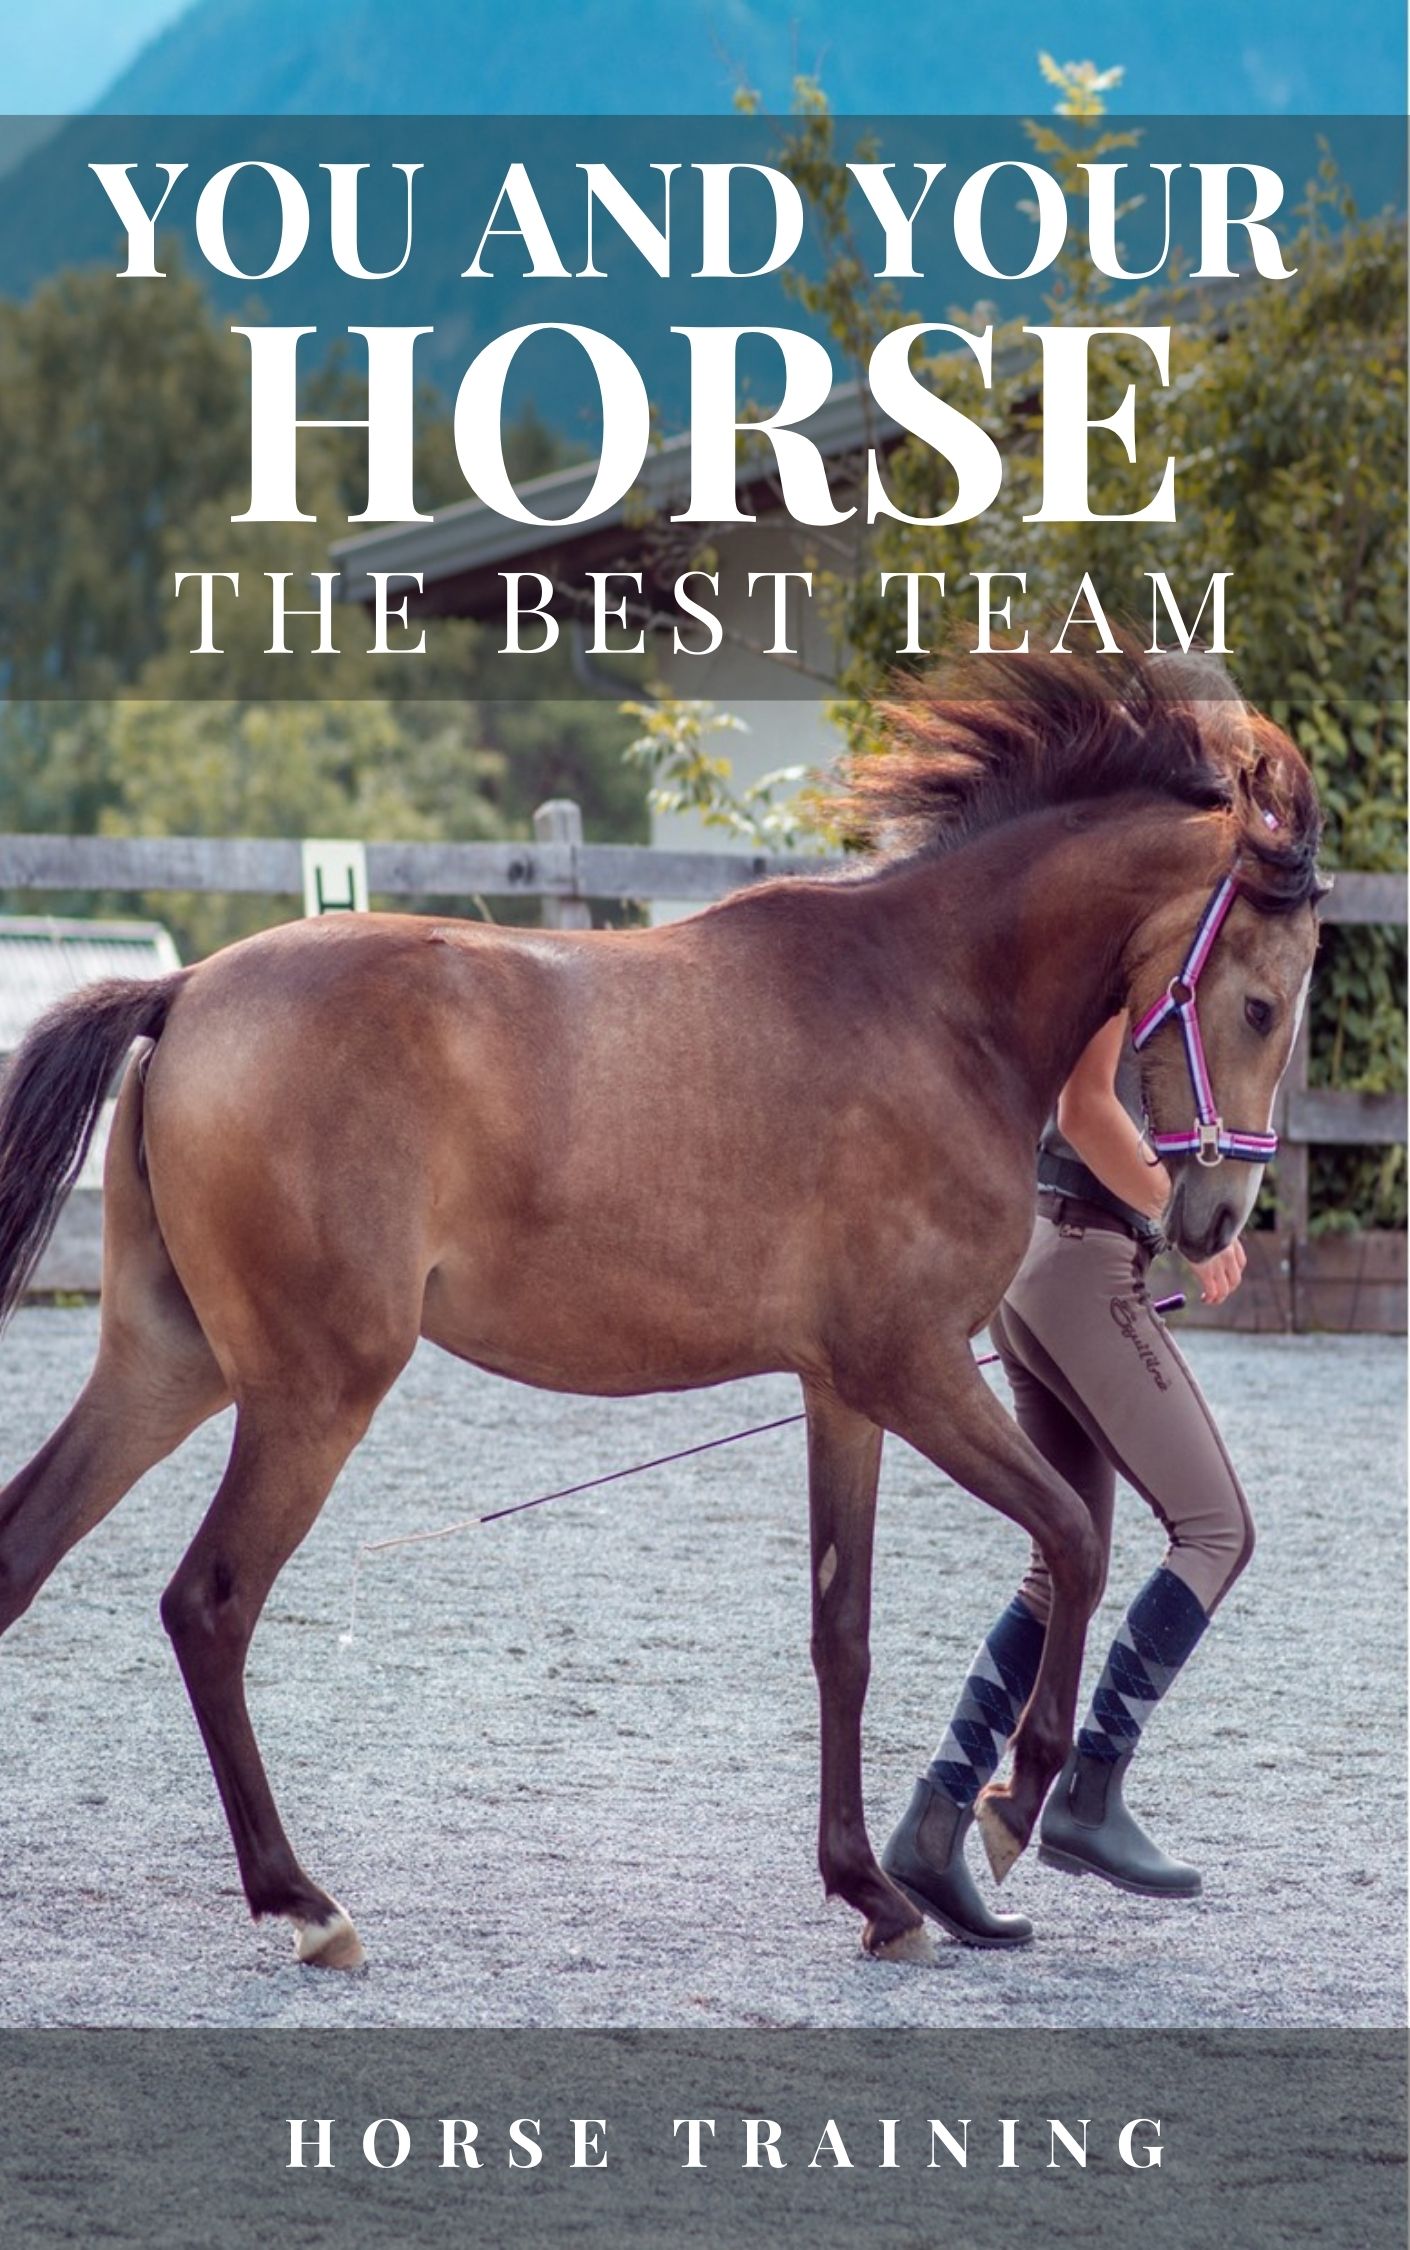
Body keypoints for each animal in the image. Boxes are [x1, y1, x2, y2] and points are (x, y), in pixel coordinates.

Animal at [0, 646, 1323, 1971]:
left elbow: (842, 1632)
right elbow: (1074, 1540)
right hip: (311, 1395)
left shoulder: (843, 1393)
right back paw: (304, 1902)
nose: (1217, 1218)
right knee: (209, 1605)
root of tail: (186, 990)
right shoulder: (914, 1368)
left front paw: (876, 1890)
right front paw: (1009, 1811)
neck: (936, 1004)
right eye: (1261, 1005)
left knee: (26, 1549)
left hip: (166, 1366)